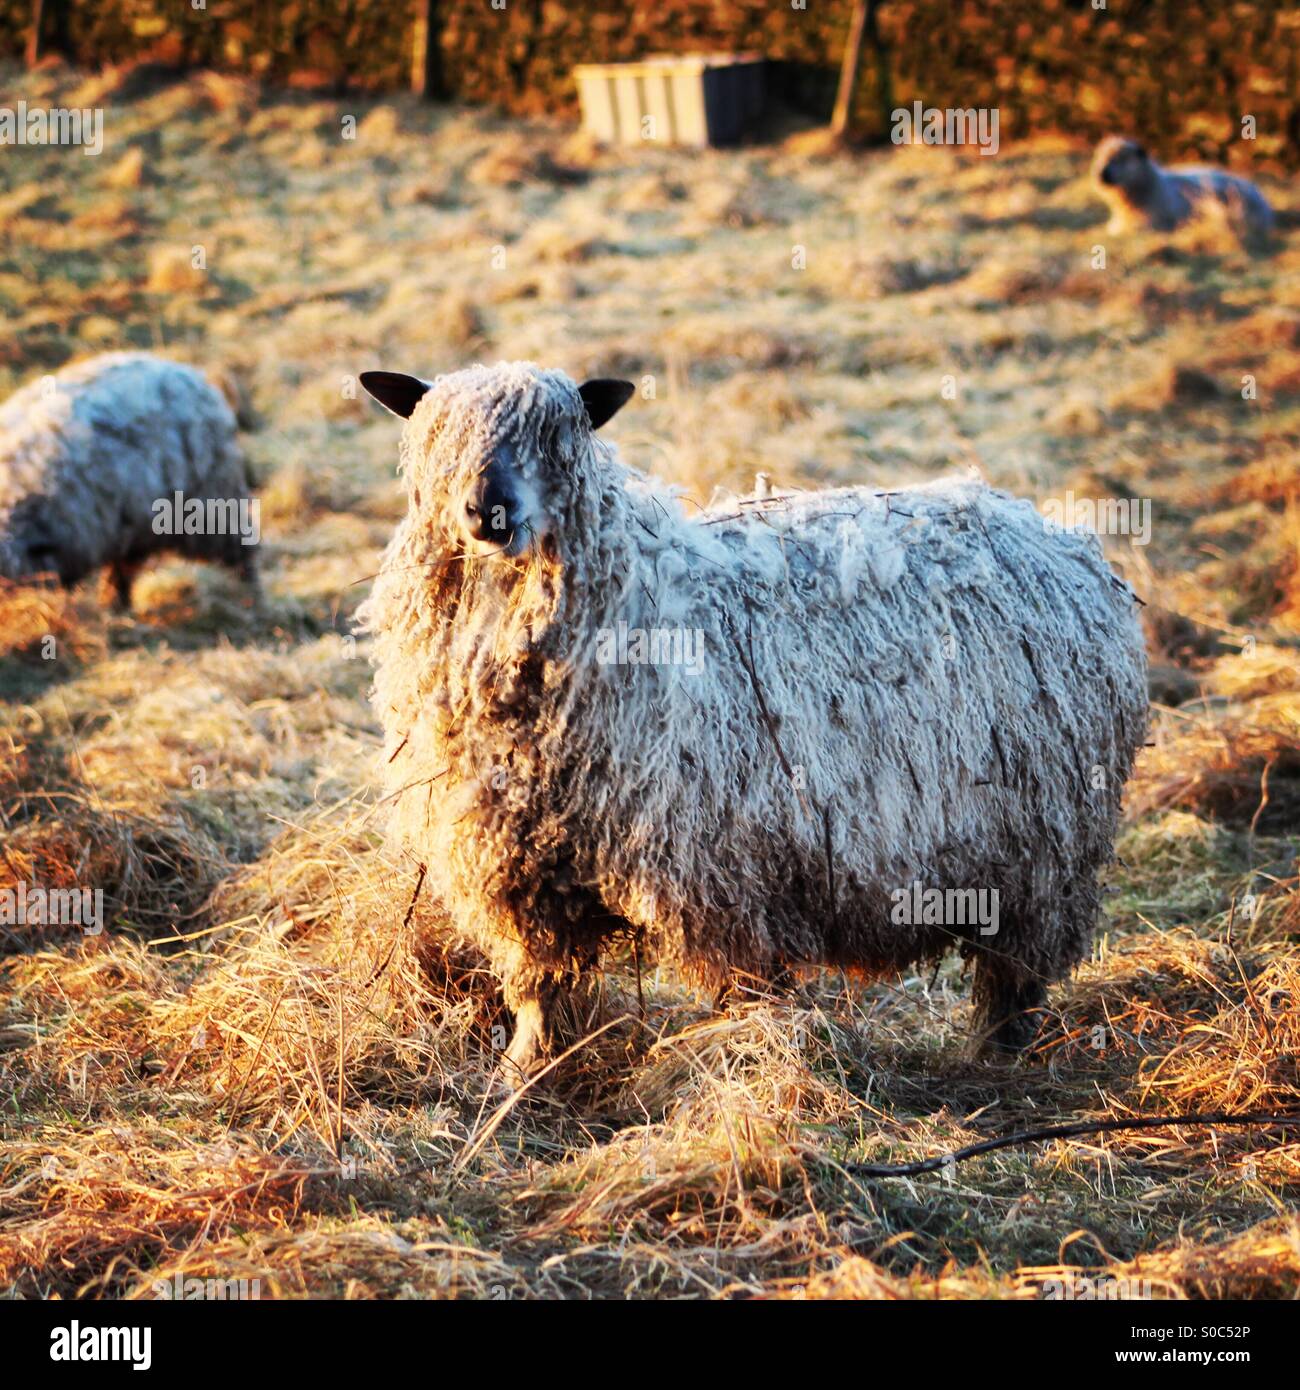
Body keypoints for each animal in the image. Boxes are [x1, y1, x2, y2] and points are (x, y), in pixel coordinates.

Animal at [359, 362, 1148, 1077]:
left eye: (559, 439)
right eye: (438, 436)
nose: (487, 510)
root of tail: (1063, 539)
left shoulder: (727, 869)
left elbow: (744, 992)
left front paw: (749, 1062)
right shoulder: (519, 871)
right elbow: (538, 986)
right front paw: (525, 1069)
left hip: (1041, 852)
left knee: (1016, 970)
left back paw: (994, 1055)